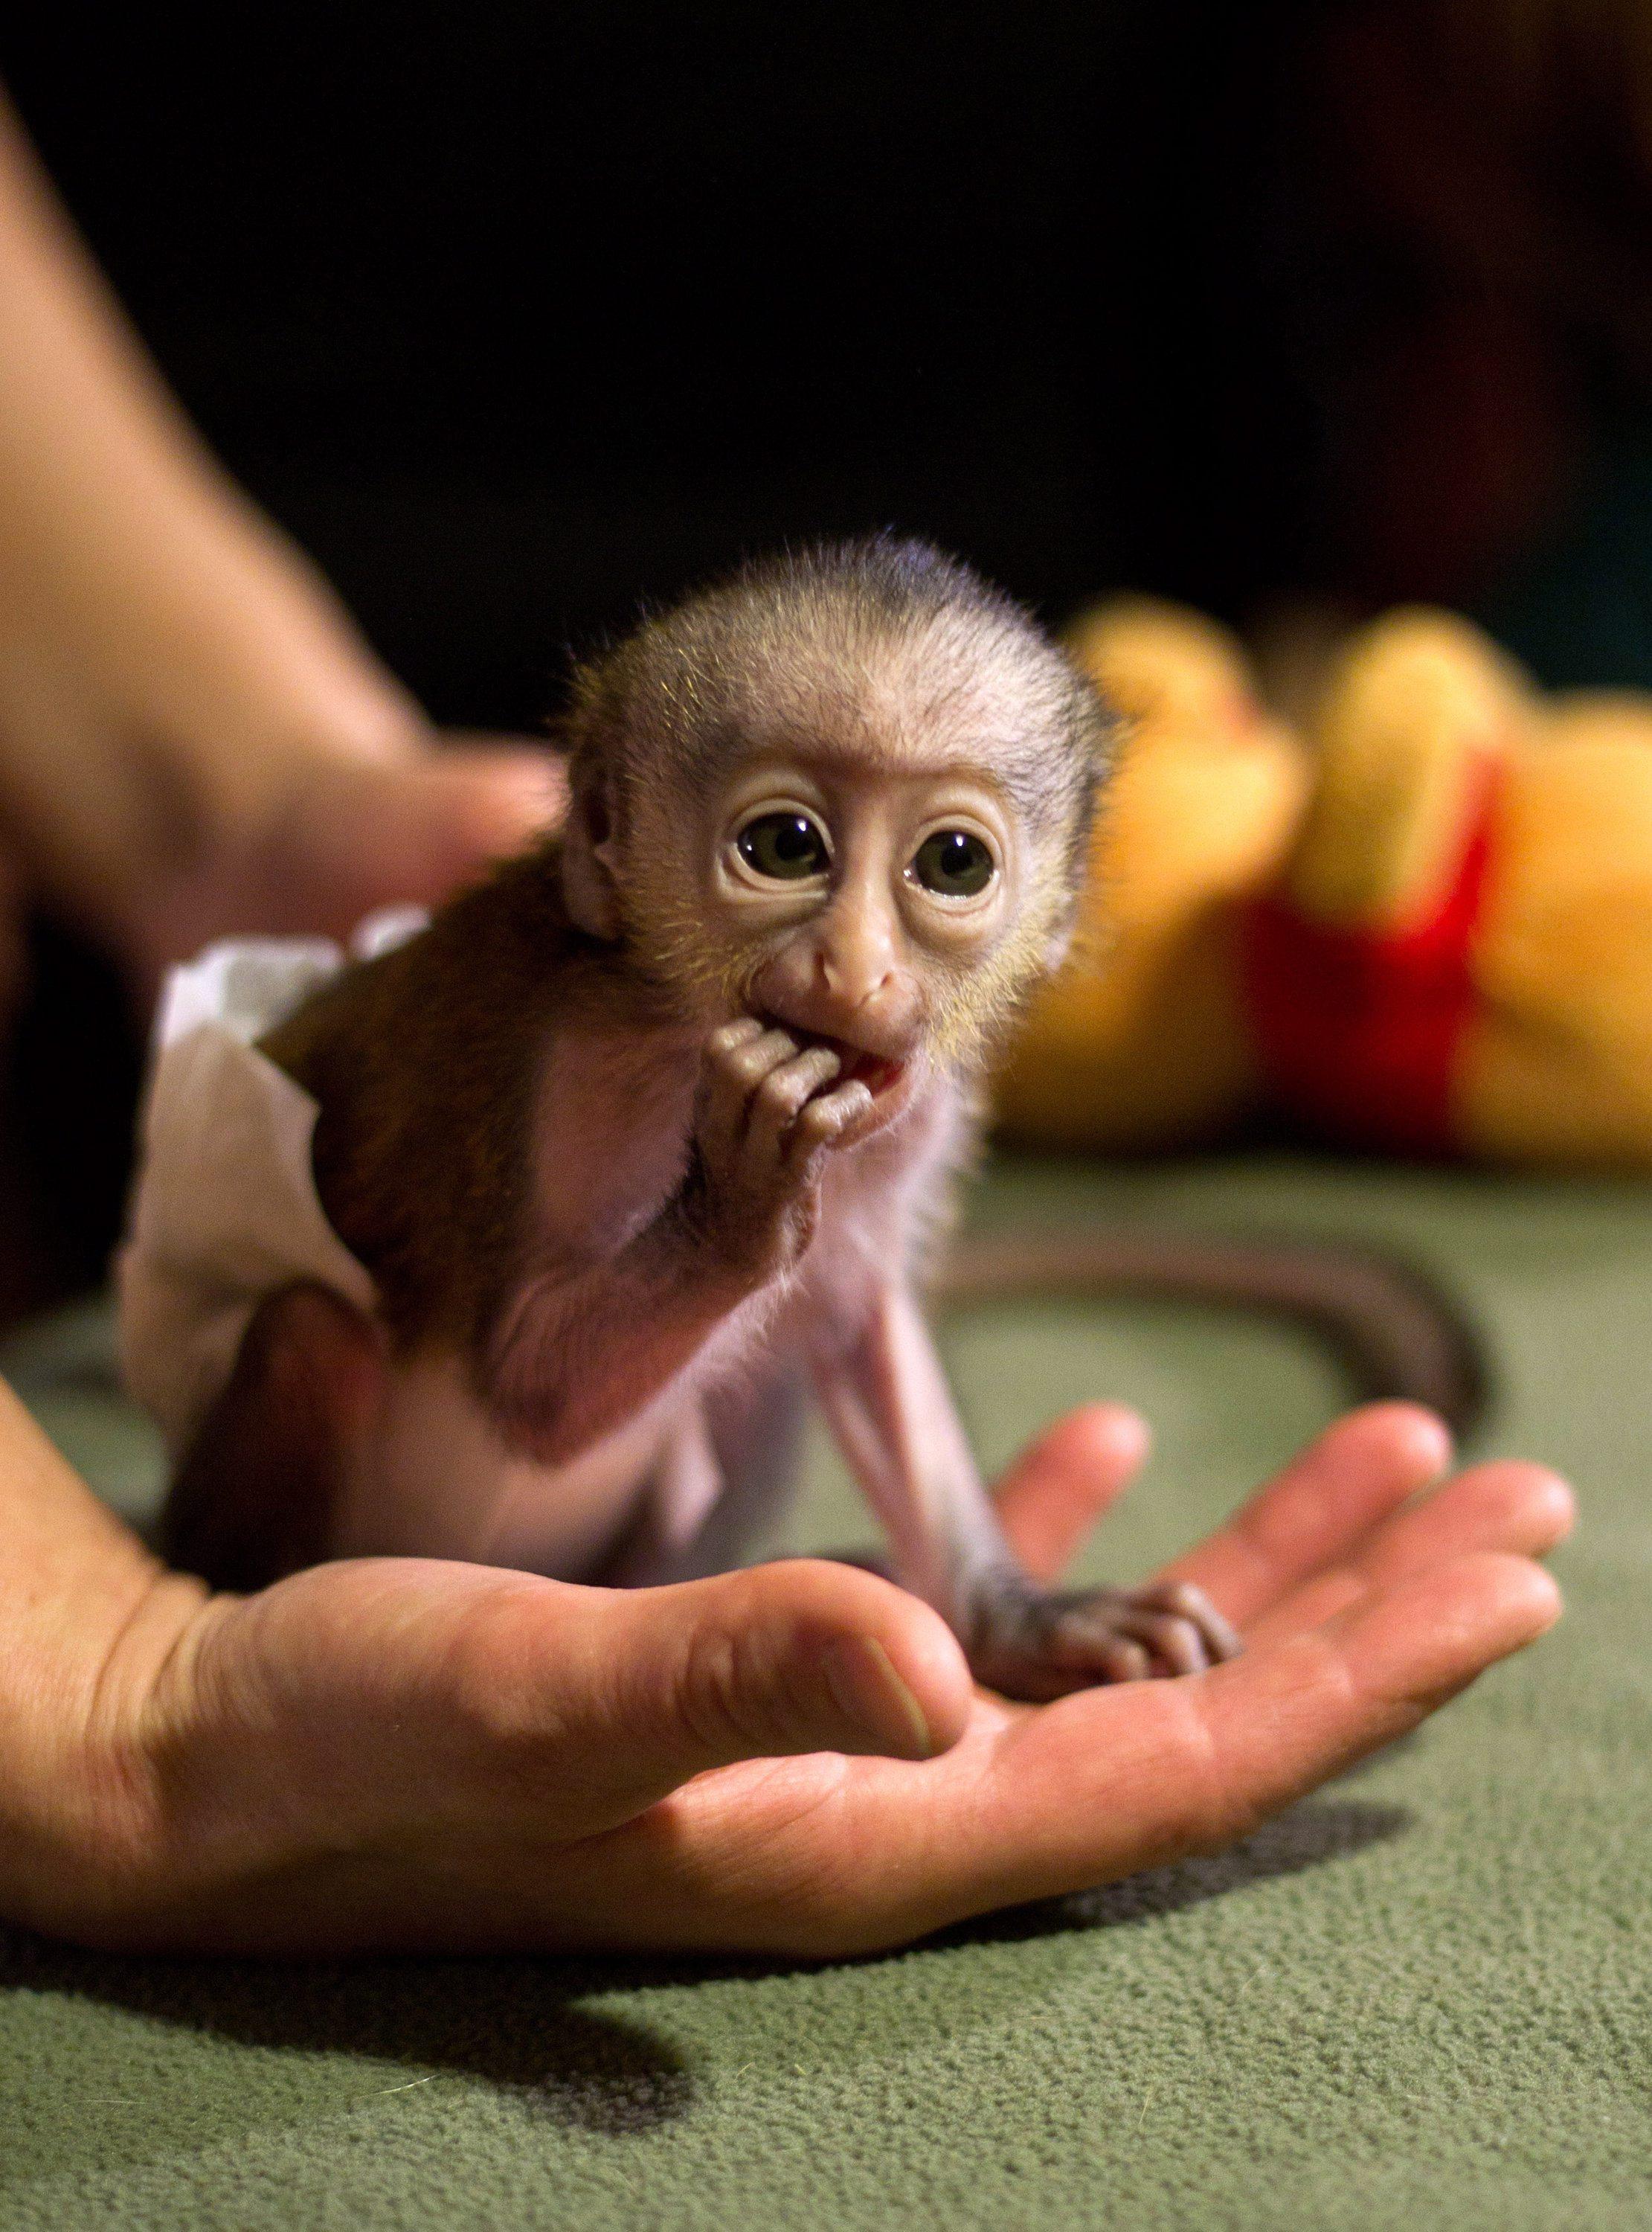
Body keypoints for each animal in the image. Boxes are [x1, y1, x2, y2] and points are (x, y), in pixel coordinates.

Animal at [161, 536, 1241, 1687]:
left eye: (953, 864)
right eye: (786, 845)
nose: (855, 971)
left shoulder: (913, 1116)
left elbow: (858, 1321)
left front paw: (1028, 1625)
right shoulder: (576, 1074)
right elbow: (527, 1393)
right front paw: (739, 1204)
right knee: (306, 1332)